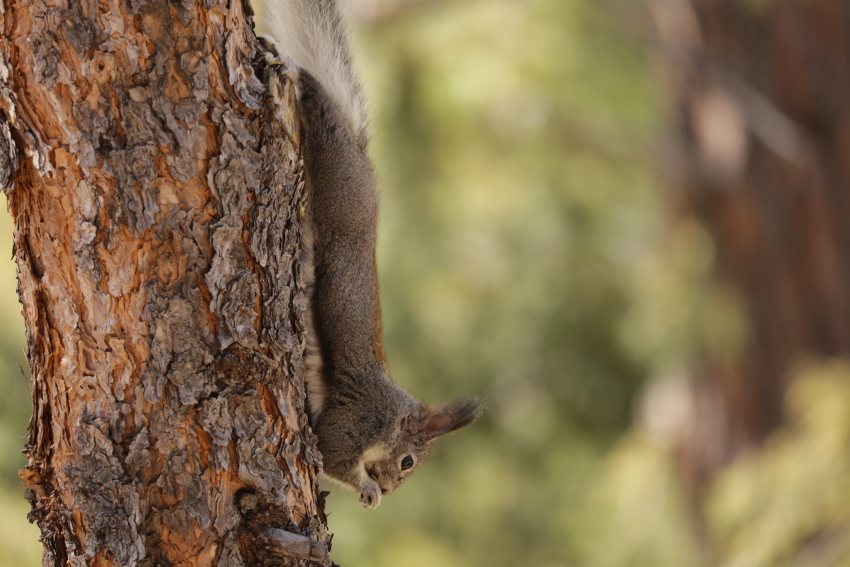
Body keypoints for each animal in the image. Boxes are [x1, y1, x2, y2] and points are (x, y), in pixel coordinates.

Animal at [262, 0, 483, 509]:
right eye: (408, 462)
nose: (388, 488)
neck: (393, 413)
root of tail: (365, 163)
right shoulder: (356, 423)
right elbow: (332, 455)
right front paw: (366, 489)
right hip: (340, 182)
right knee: (324, 114)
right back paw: (298, 74)